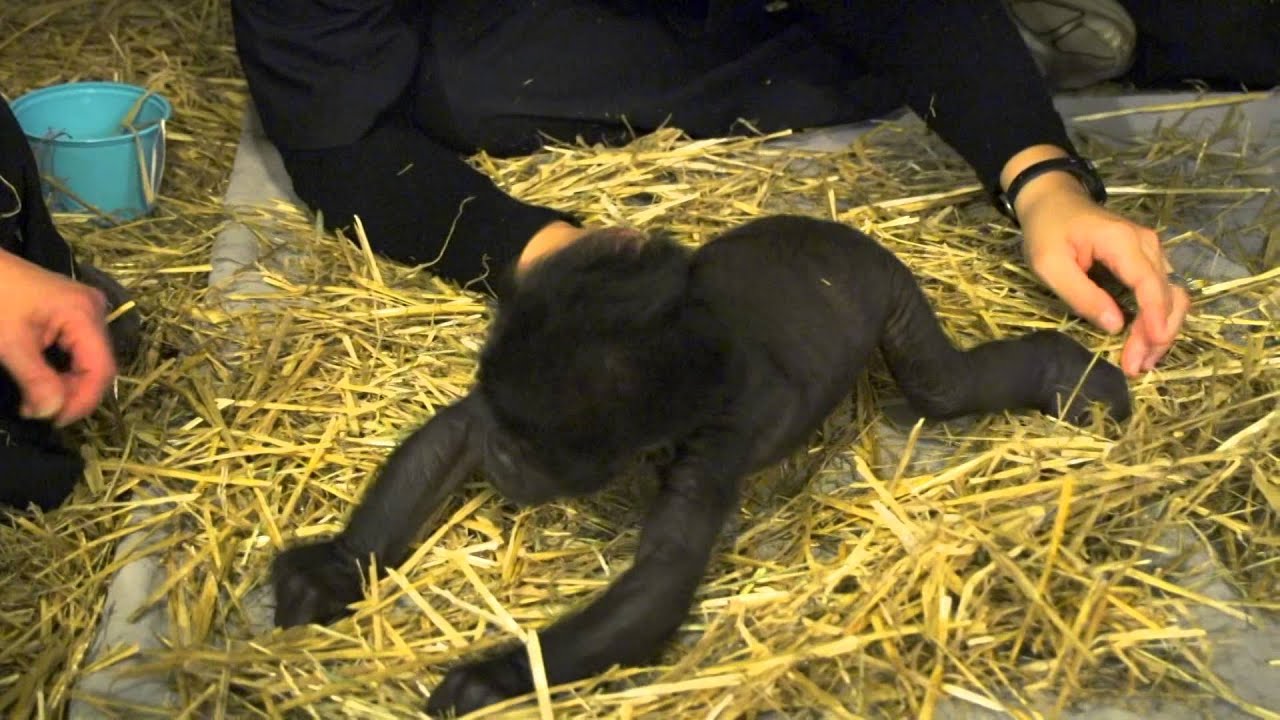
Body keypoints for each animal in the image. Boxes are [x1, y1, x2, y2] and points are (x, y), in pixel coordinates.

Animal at [270, 215, 1131, 716]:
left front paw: (498, 679)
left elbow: (664, 574)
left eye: (525, 454)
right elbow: (452, 434)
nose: (506, 469)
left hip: (892, 291)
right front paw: (338, 568)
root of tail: (837, 233)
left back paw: (1063, 375)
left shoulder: (713, 441)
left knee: (943, 386)